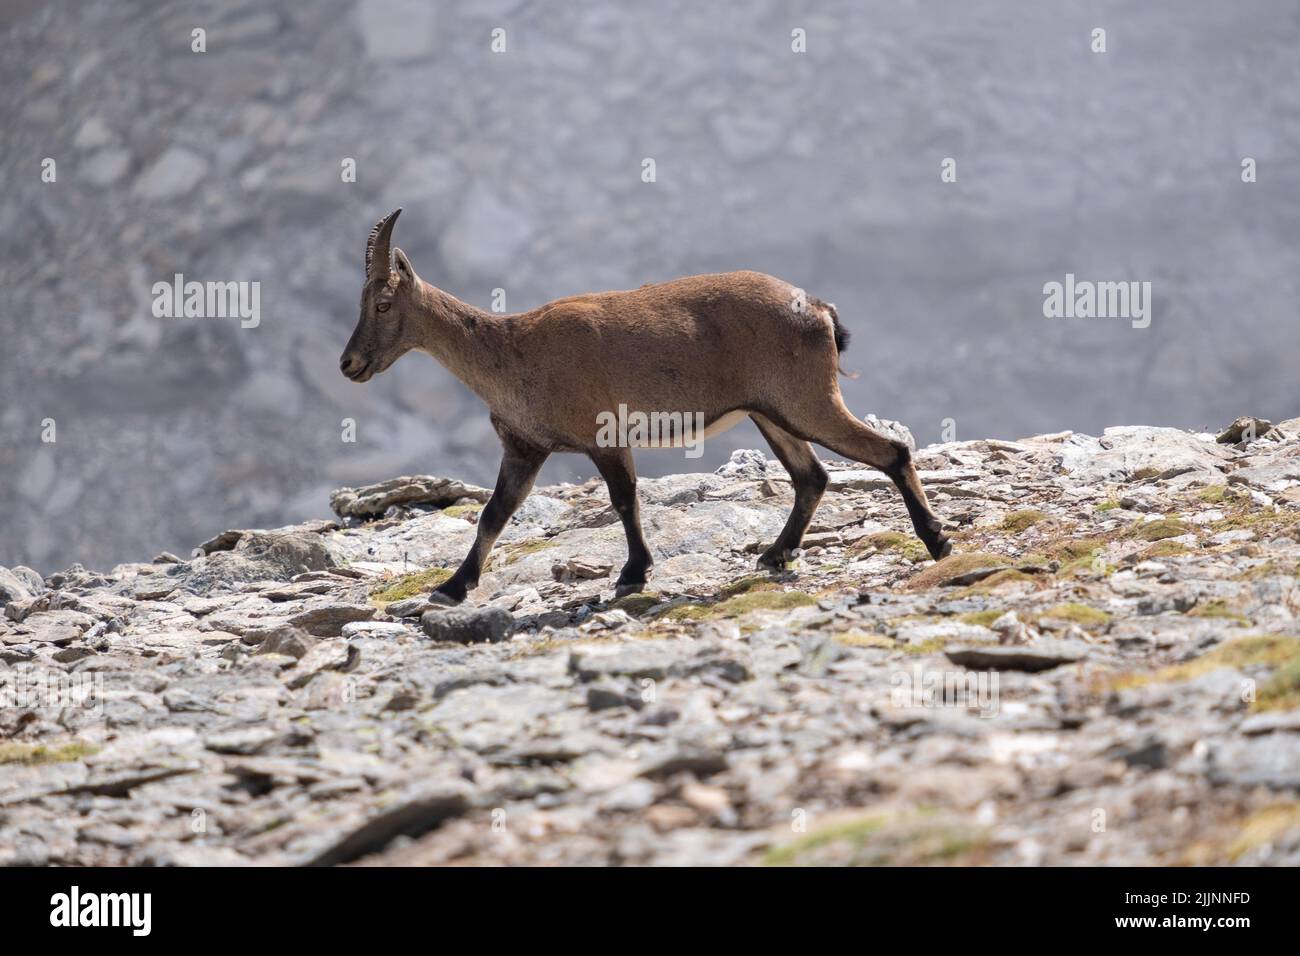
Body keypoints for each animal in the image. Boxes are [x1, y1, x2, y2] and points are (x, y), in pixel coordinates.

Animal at [340, 209, 951, 604]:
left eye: (384, 302)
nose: (349, 364)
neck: (510, 351)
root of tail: (821, 310)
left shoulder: (602, 435)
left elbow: (623, 499)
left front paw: (633, 573)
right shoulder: (525, 447)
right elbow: (494, 513)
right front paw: (452, 587)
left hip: (807, 401)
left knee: (891, 452)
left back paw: (937, 541)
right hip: (772, 413)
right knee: (812, 477)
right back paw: (777, 555)